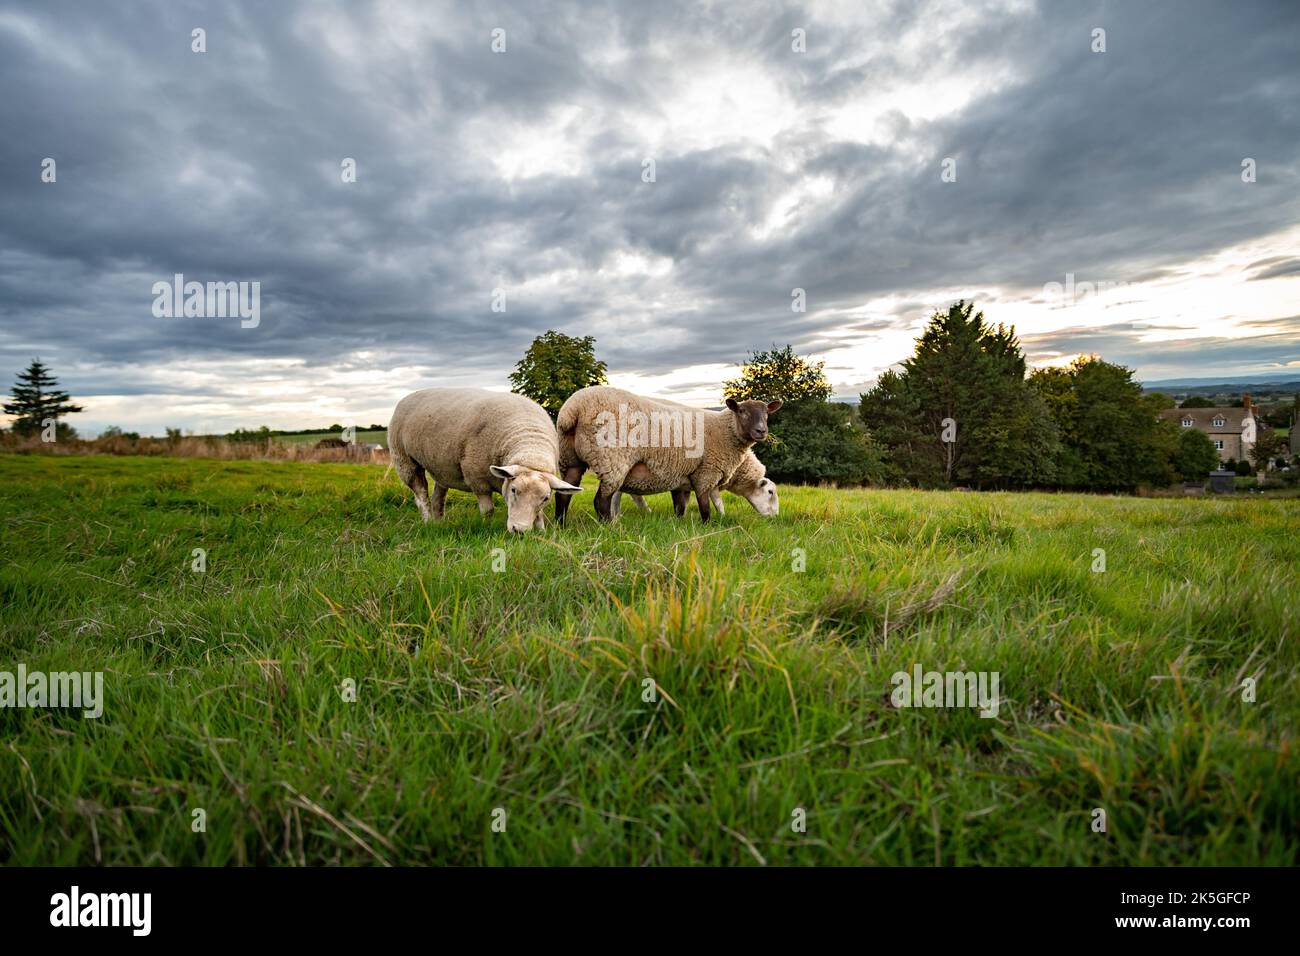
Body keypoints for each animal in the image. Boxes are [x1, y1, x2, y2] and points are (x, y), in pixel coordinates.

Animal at [388, 387, 583, 533]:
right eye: (514, 490)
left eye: (546, 498)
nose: (519, 530)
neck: (530, 446)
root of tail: (409, 396)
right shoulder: (477, 479)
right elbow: (488, 509)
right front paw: (486, 527)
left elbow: (539, 513)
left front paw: (540, 530)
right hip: (405, 460)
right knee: (421, 495)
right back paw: (428, 521)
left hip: (441, 468)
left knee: (438, 498)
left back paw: (439, 523)